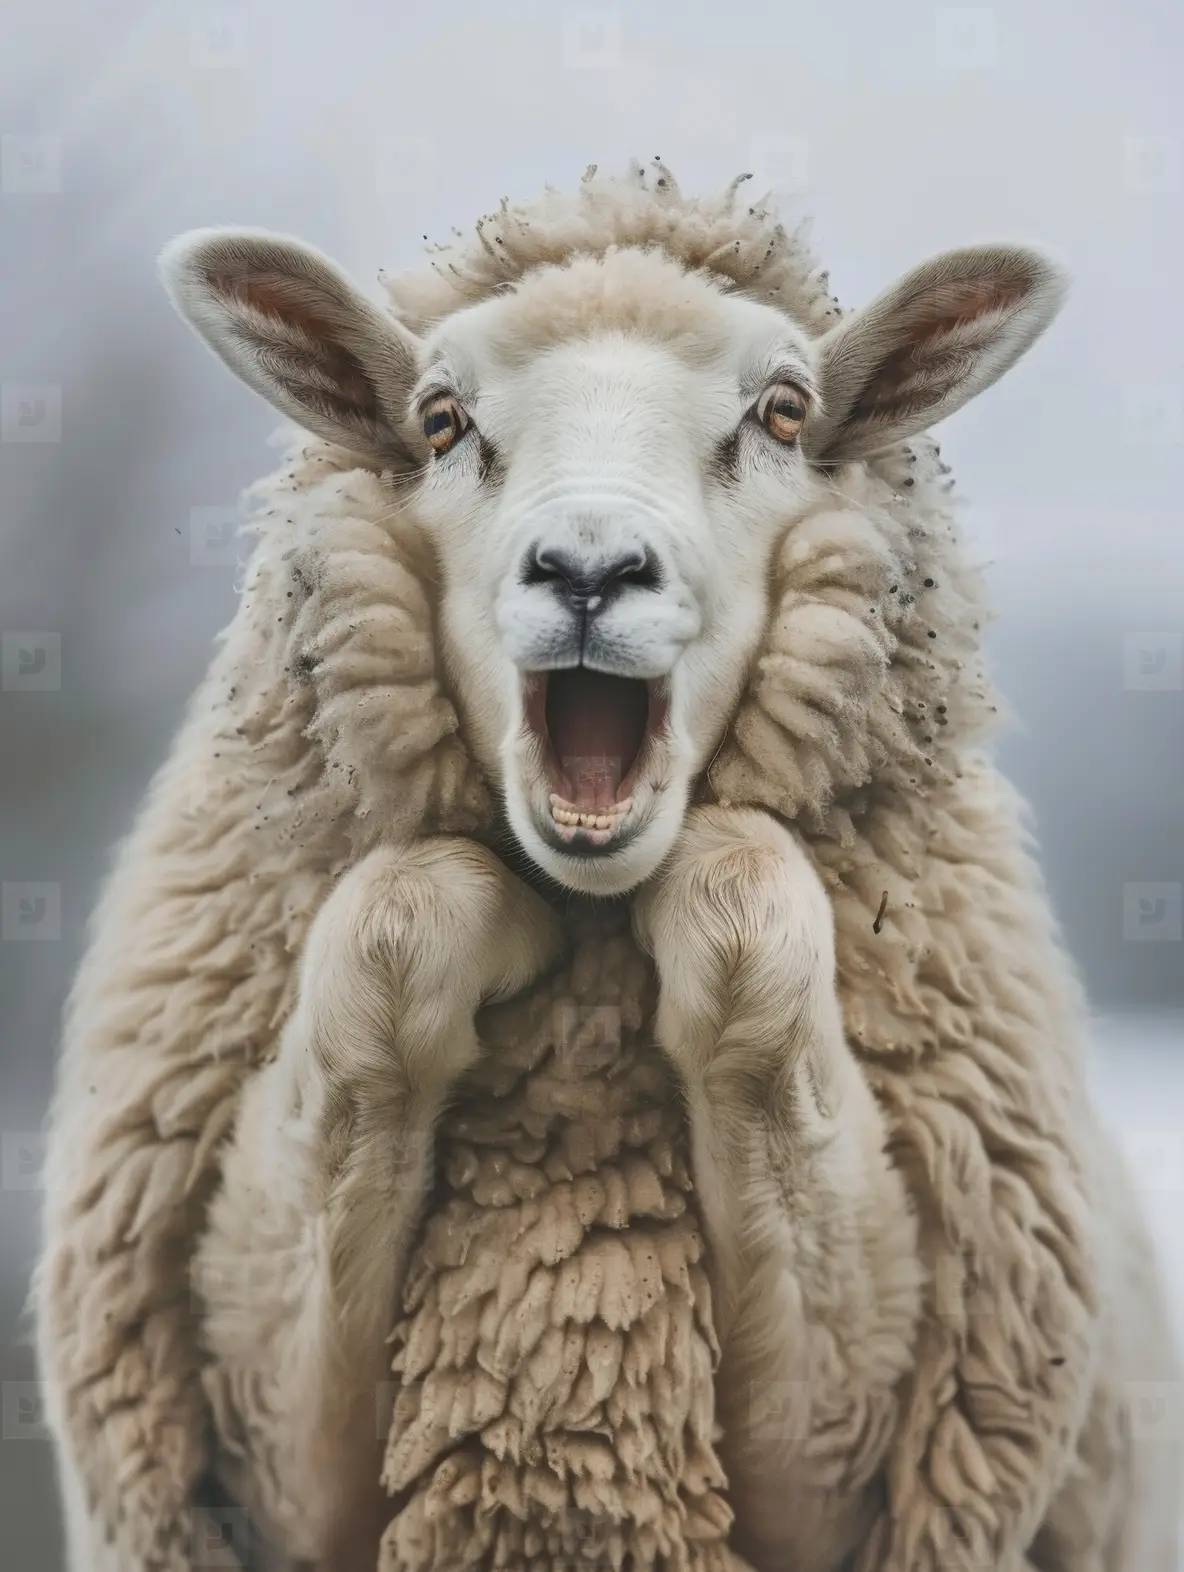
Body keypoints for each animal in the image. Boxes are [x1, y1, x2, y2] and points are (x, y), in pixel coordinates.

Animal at [34, 159, 1179, 1572]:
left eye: (784, 411)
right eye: (440, 419)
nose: (588, 569)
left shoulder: (878, 1463)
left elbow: (741, 900)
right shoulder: (262, 1473)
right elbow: (400, 920)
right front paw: (484, 929)